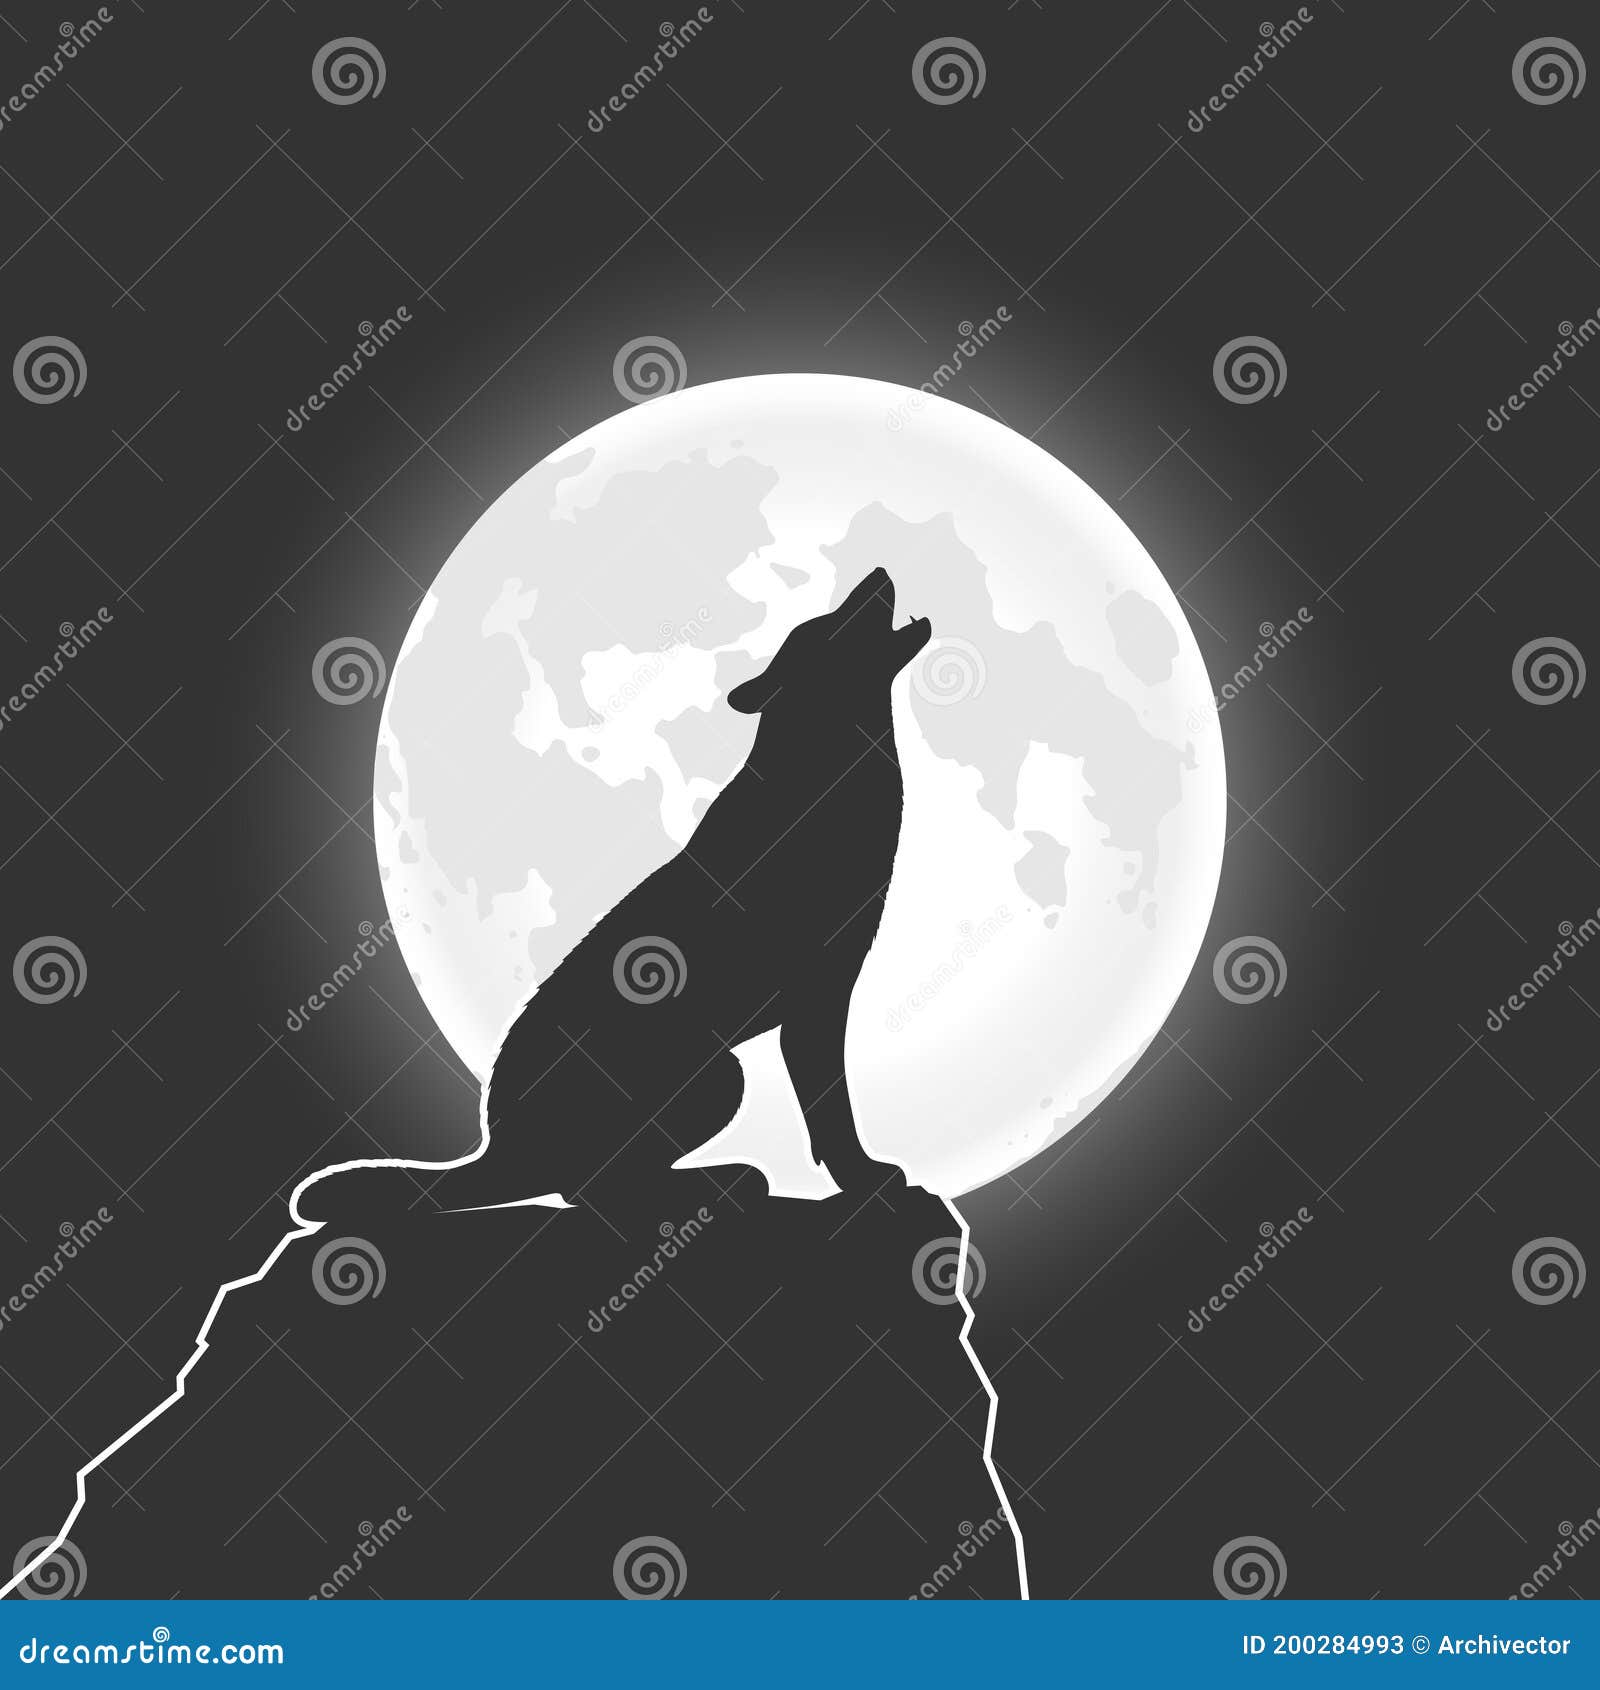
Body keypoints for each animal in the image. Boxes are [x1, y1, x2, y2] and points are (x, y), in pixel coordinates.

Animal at [297, 567, 932, 1223]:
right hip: (717, 1076)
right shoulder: (817, 1000)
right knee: (593, 1189)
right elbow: (831, 1113)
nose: (879, 571)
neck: (827, 771)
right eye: (826, 626)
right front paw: (868, 1182)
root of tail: (496, 1149)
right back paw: (720, 1184)